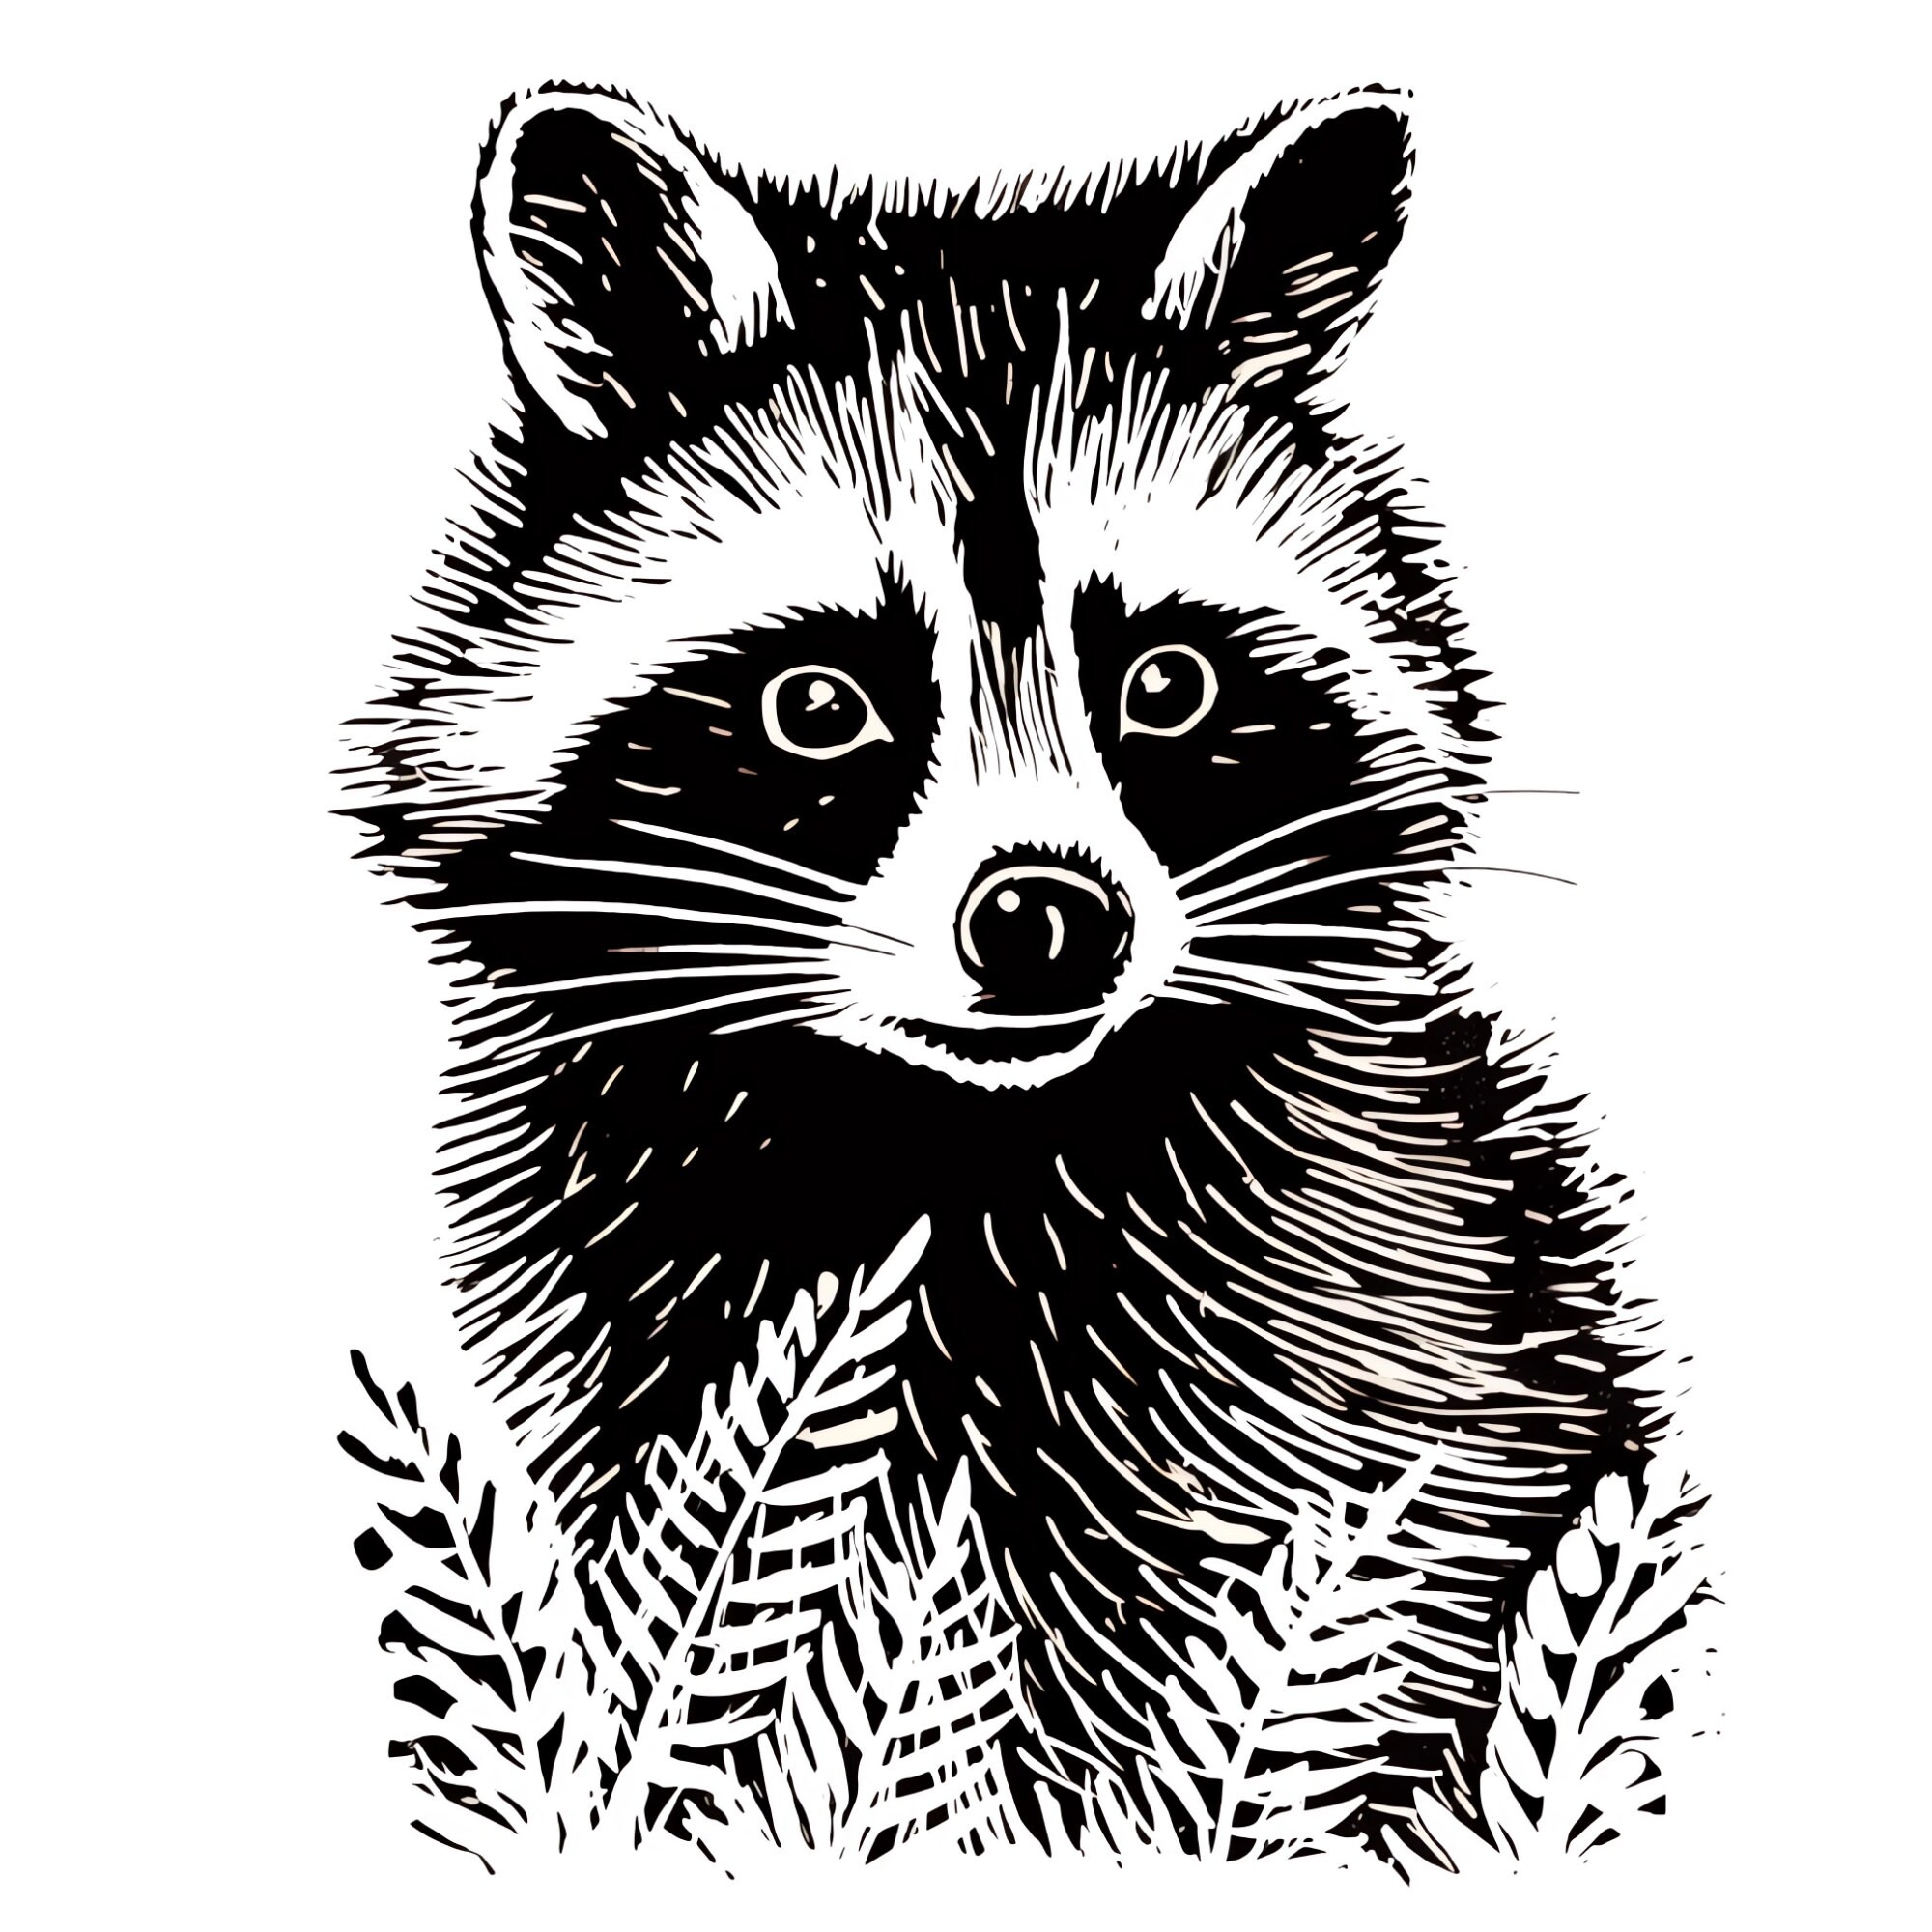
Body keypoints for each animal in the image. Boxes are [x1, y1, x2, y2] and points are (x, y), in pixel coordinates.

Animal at [345, 83, 1658, 1856]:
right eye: (818, 703)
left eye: (1165, 681)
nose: (1050, 917)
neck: (947, 1143)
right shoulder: (658, 1343)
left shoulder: (1375, 1360)